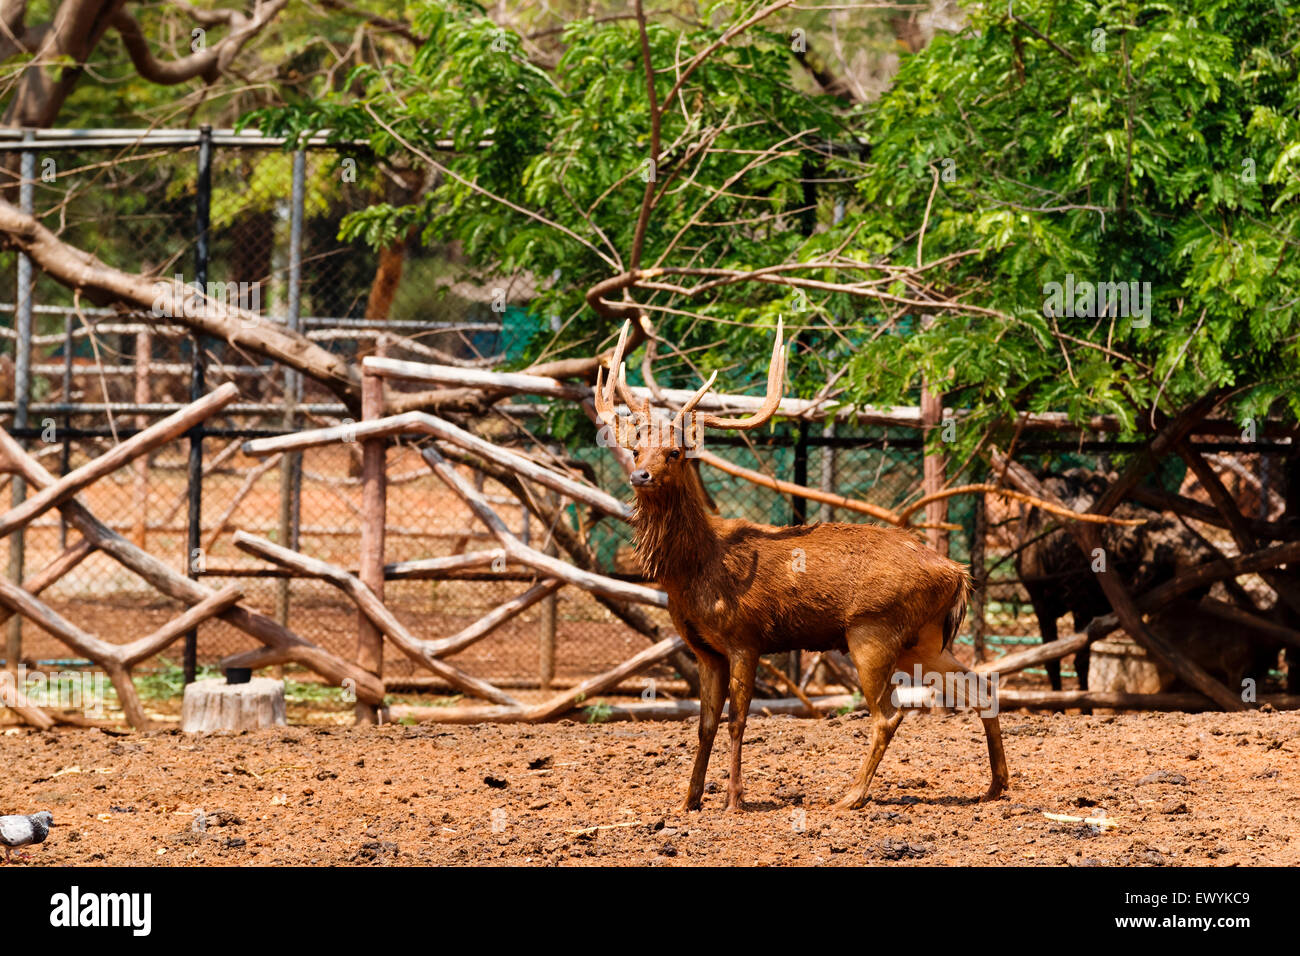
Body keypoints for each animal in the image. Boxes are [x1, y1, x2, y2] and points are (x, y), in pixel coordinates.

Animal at [593, 319, 1009, 811]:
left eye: (674, 453)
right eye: (638, 450)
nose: (640, 475)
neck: (692, 572)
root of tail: (958, 574)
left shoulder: (744, 638)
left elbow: (738, 720)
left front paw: (734, 799)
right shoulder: (704, 649)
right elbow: (704, 723)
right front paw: (689, 800)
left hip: (873, 630)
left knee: (889, 714)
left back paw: (851, 796)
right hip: (923, 640)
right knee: (982, 686)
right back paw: (996, 785)